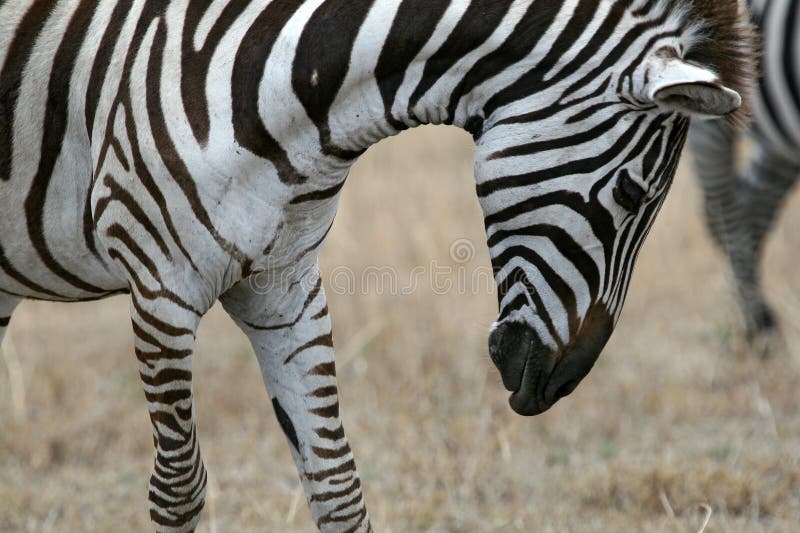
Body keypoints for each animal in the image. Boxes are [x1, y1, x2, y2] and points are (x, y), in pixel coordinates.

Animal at [0, 0, 755, 531]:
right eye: (631, 193)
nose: (559, 383)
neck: (298, 91)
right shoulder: (161, 290)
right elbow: (179, 488)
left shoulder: (286, 290)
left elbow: (336, 483)